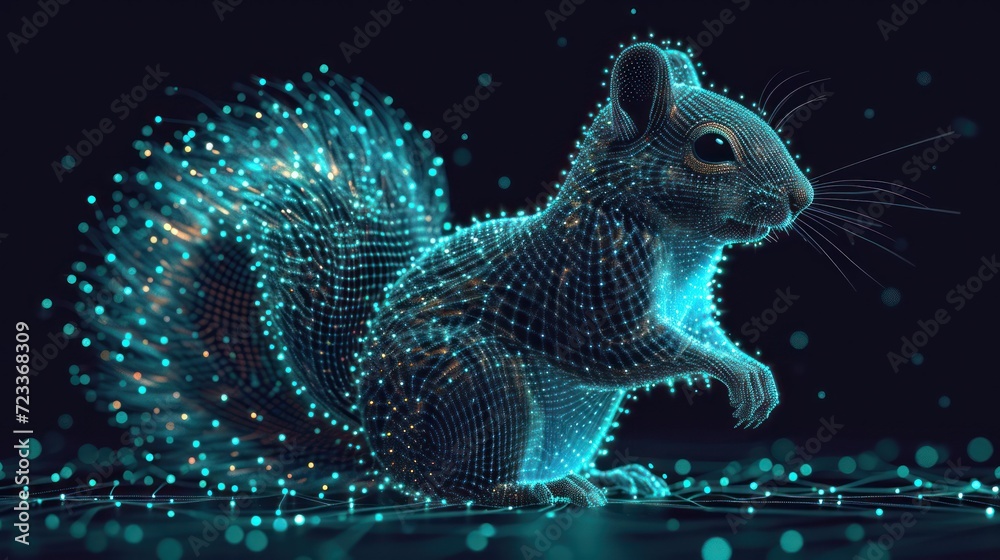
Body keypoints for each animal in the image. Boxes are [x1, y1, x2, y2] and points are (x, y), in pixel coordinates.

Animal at [72, 42, 812, 508]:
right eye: (713, 147)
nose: (800, 198)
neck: (681, 246)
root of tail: (388, 453)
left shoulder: (692, 308)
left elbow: (705, 337)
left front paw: (753, 372)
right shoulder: (579, 285)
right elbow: (618, 347)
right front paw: (737, 374)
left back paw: (612, 477)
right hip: (480, 384)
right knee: (461, 486)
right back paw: (535, 490)